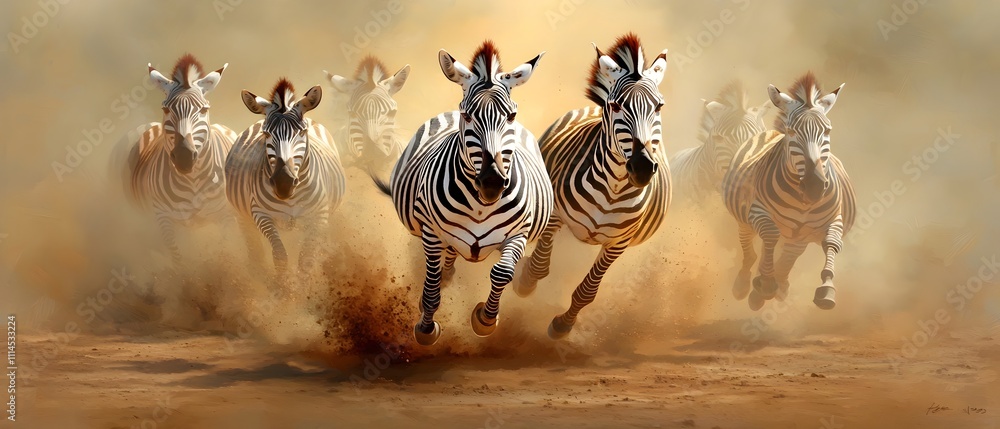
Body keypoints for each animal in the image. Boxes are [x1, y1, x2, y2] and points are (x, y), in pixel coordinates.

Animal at [118, 54, 238, 266]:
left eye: (204, 110)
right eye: (165, 109)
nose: (184, 157)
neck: (193, 181)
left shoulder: (226, 215)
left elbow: (226, 252)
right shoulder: (164, 219)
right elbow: (179, 260)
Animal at [225, 78, 346, 273]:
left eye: (302, 132)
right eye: (266, 134)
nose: (284, 183)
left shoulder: (319, 217)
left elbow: (307, 260)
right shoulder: (261, 215)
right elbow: (280, 257)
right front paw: (283, 282)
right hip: (243, 217)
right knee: (254, 252)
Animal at [373, 41, 552, 346]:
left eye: (512, 116)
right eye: (467, 116)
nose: (492, 183)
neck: (481, 205)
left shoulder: (519, 233)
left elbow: (502, 273)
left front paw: (486, 320)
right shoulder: (432, 231)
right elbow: (431, 283)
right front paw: (426, 328)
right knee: (442, 265)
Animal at [514, 34, 671, 340]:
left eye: (658, 107)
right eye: (617, 106)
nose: (642, 167)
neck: (613, 189)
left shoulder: (618, 242)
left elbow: (588, 291)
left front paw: (563, 325)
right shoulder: (555, 216)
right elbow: (538, 267)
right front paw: (523, 282)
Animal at [722, 73, 855, 311]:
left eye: (827, 131)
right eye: (792, 131)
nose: (814, 186)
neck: (803, 202)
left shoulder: (834, 219)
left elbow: (832, 242)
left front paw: (827, 289)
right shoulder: (757, 212)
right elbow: (770, 235)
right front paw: (766, 283)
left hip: (800, 234)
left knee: (789, 255)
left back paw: (777, 285)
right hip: (743, 218)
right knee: (750, 250)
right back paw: (746, 285)